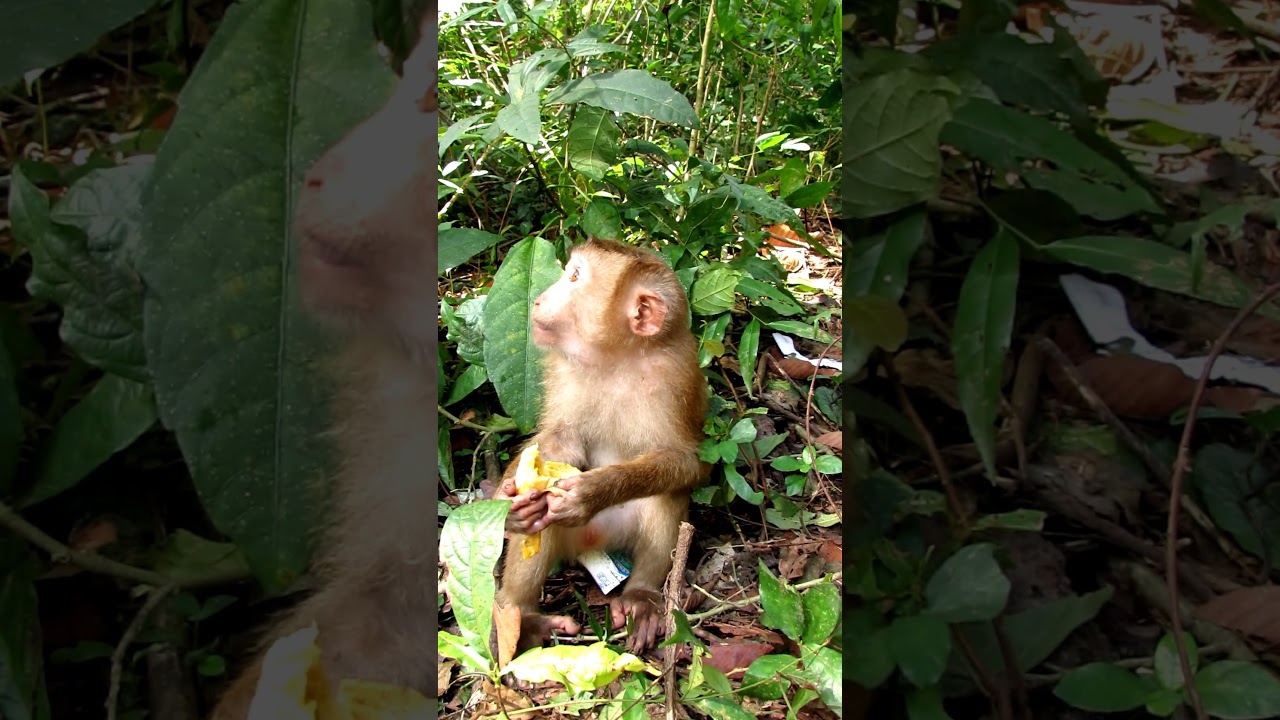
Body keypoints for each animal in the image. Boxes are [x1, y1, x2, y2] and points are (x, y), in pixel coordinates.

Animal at [492, 238, 709, 655]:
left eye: (575, 277)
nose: (538, 299)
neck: (618, 358)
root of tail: (593, 544)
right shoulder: (562, 370)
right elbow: (557, 441)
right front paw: (506, 499)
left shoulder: (678, 376)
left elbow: (687, 463)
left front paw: (592, 491)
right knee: (543, 518)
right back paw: (522, 616)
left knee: (667, 493)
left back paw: (641, 596)